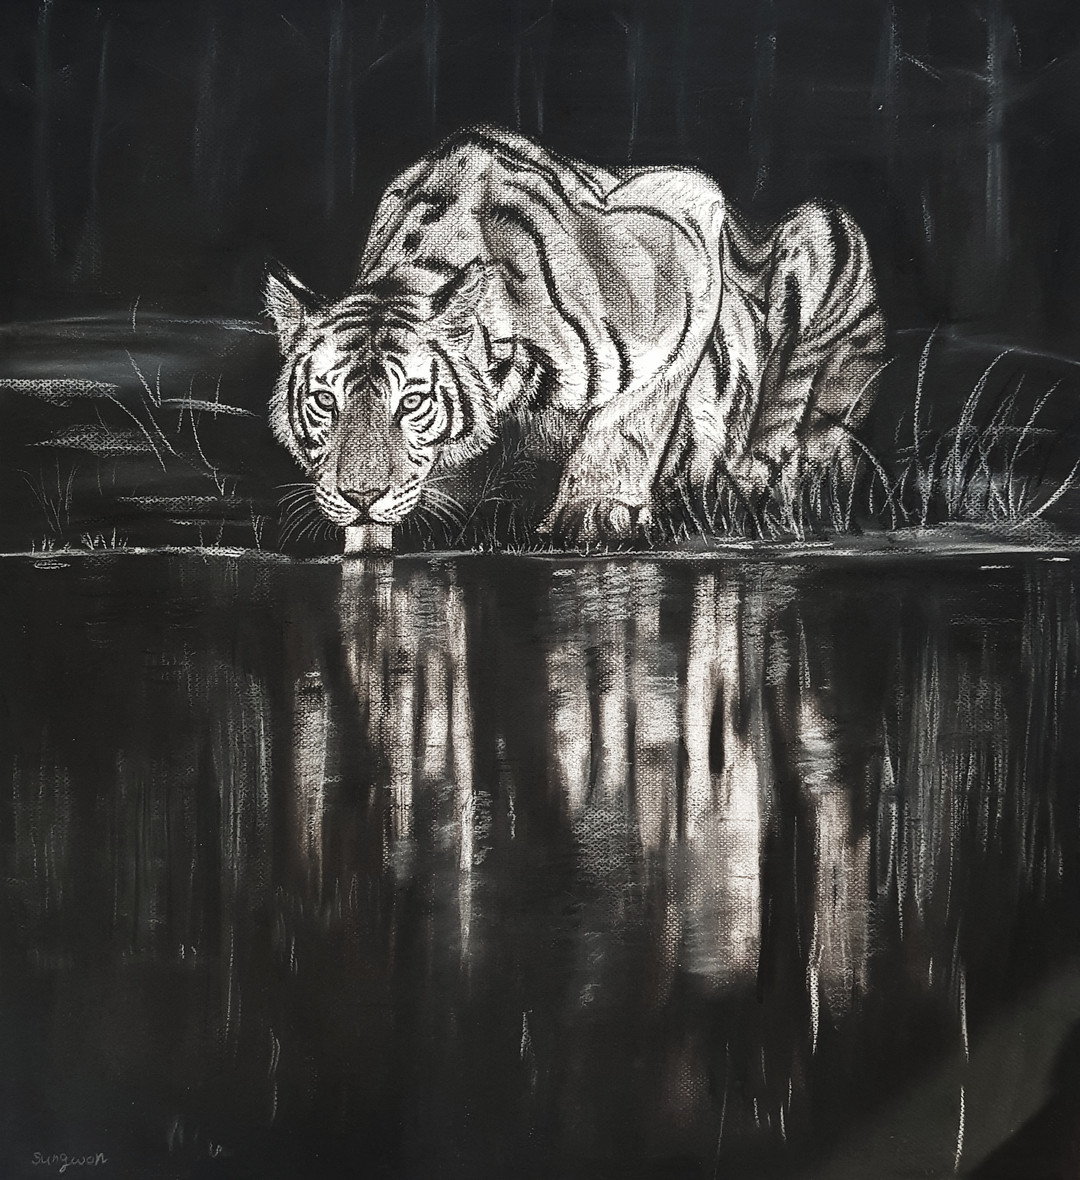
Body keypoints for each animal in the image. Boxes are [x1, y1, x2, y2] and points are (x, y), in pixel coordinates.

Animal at [267, 124, 886, 546]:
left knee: (804, 439)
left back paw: (760, 486)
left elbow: (636, 412)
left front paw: (595, 510)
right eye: (325, 402)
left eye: (413, 402)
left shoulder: (686, 220)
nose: (361, 497)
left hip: (828, 235)